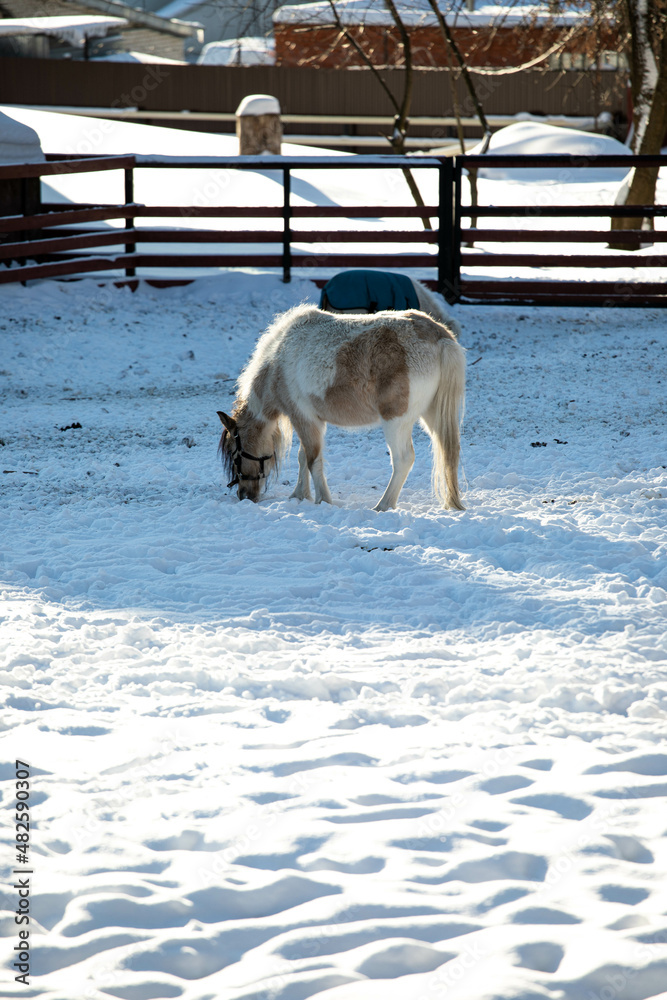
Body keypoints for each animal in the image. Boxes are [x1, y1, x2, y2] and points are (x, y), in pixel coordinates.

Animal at [217, 303, 465, 512]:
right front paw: (300, 495)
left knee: (403, 459)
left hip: (396, 422)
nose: (244, 495)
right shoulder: (312, 421)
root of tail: (439, 337)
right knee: (446, 451)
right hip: (432, 416)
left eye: (235, 455)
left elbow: (312, 460)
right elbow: (302, 456)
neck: (278, 360)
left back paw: (383, 505)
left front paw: (323, 500)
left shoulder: (304, 417)